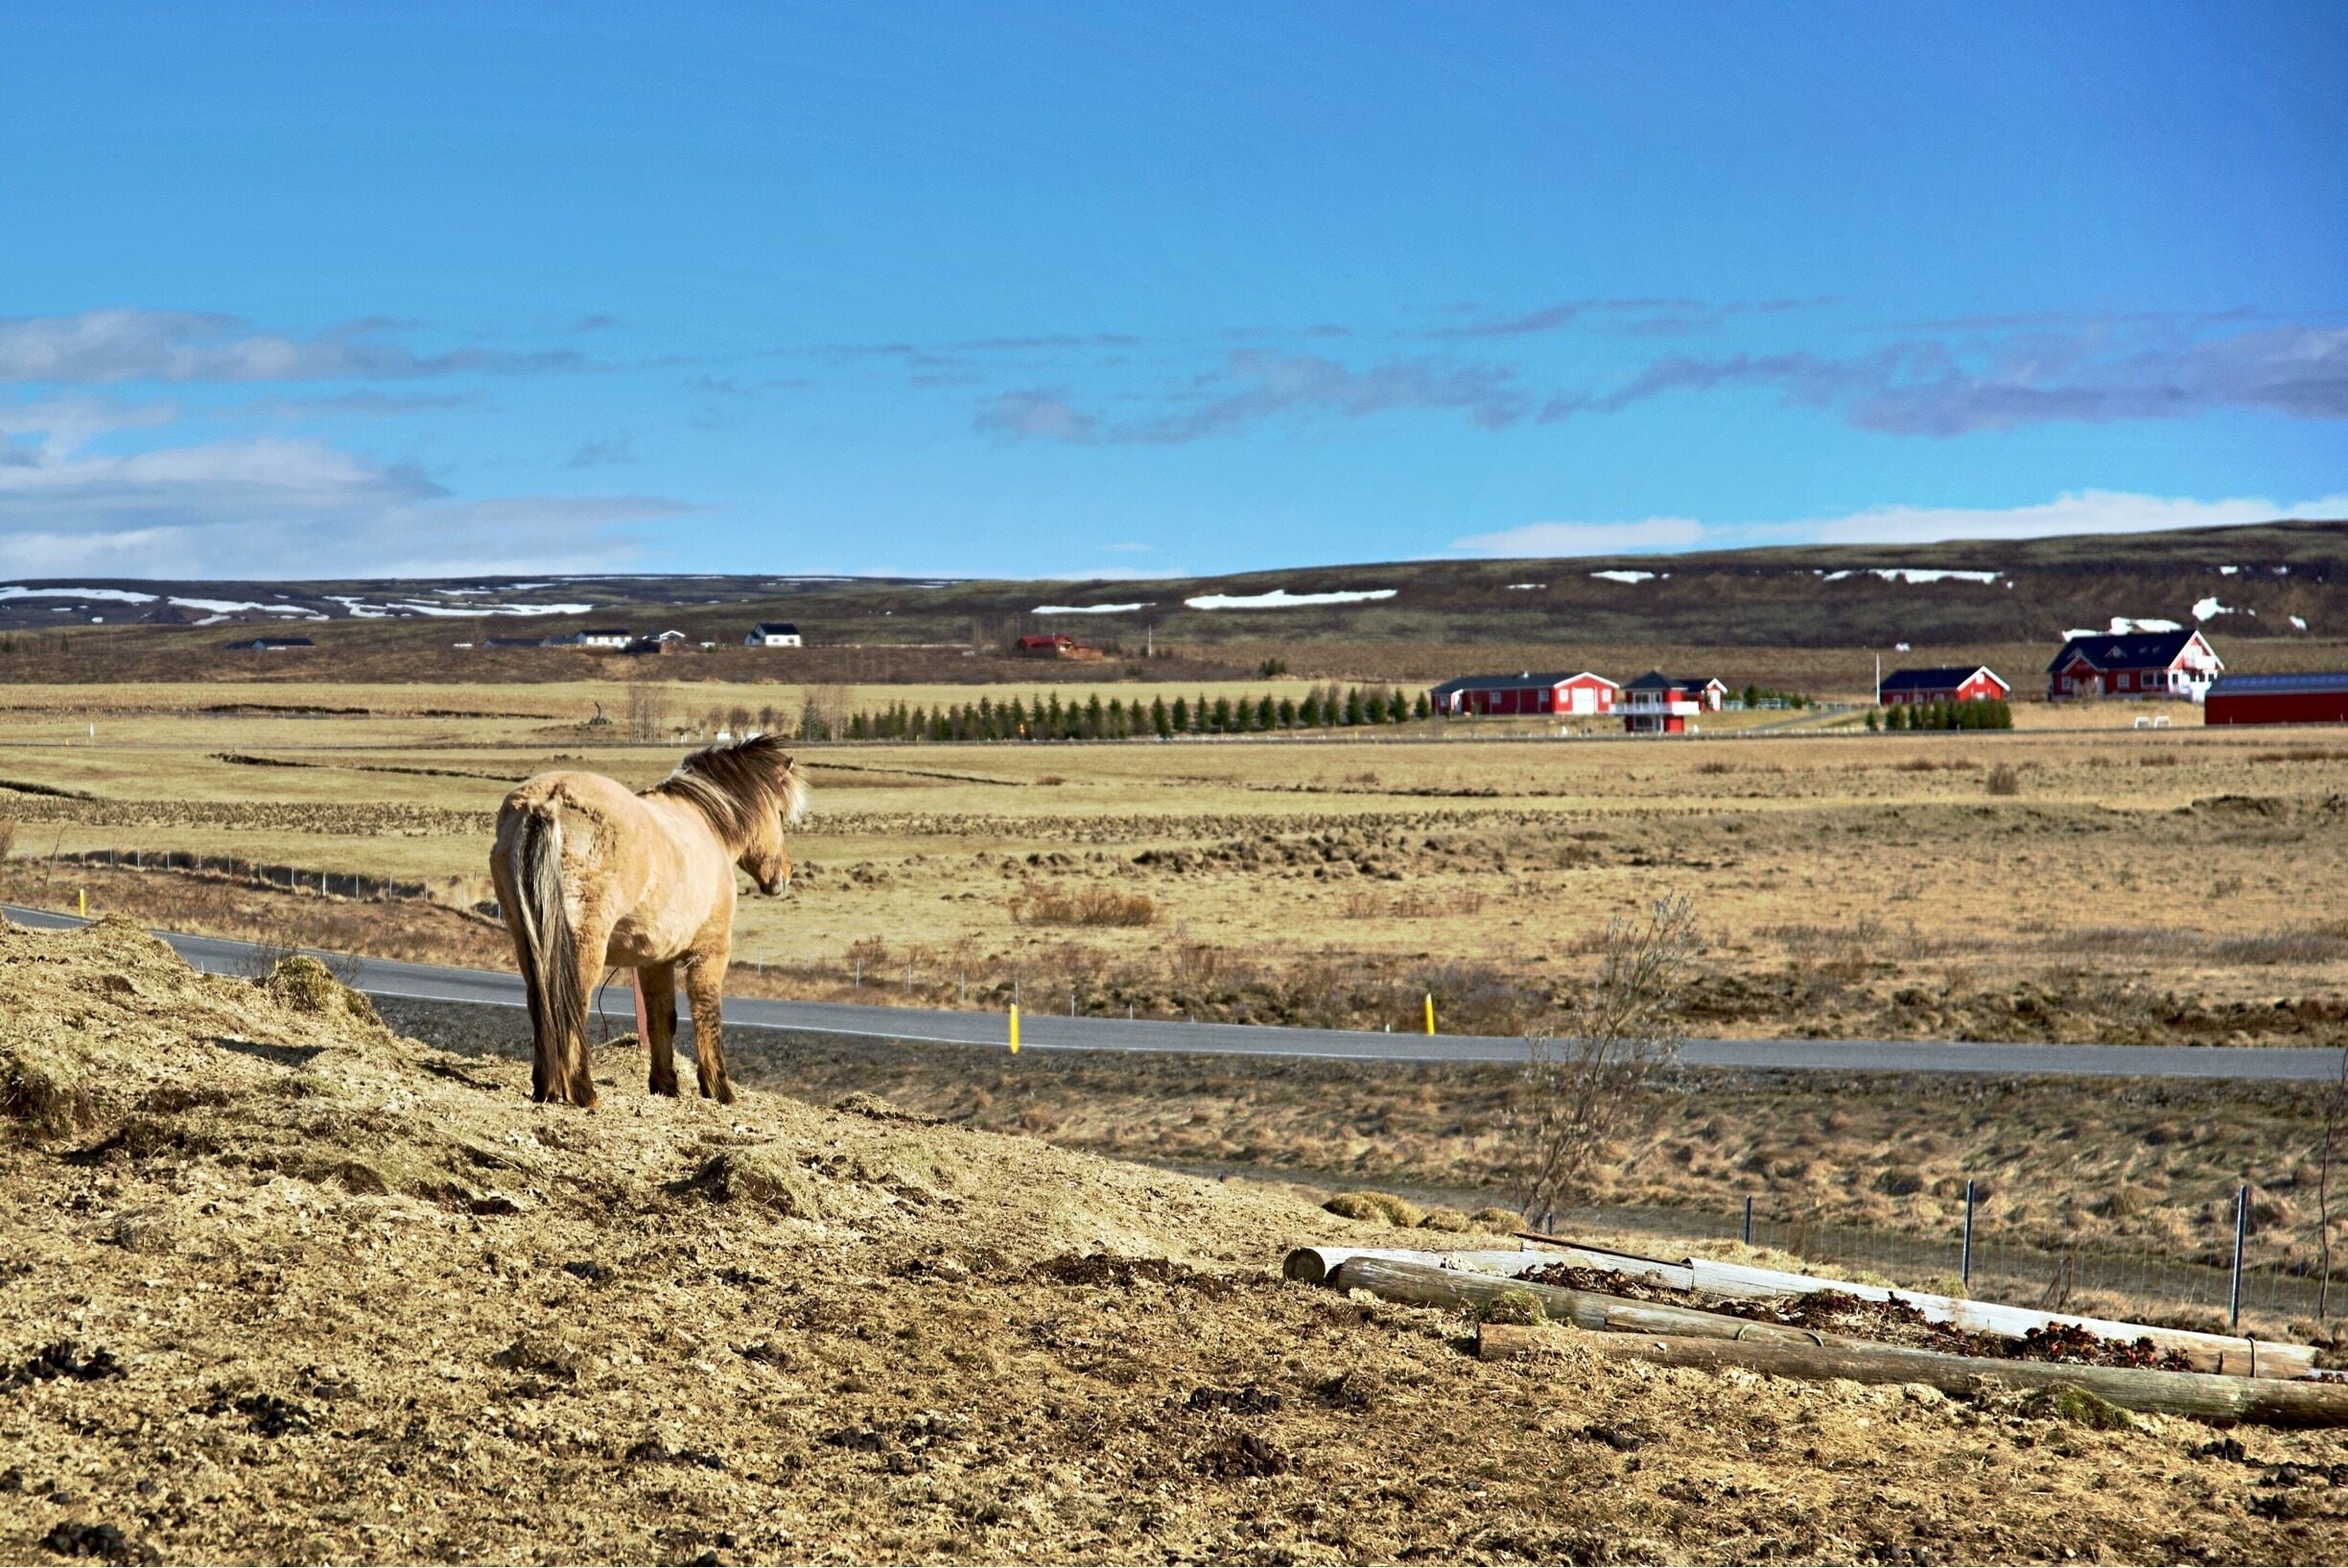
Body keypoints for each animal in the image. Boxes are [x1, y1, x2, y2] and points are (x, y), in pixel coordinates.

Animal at [490, 734, 809, 1108]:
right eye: (779, 813)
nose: (784, 874)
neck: (707, 826)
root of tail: (549, 801)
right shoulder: (710, 953)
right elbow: (707, 1013)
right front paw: (719, 1089)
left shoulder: (654, 960)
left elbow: (661, 1017)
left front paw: (665, 1085)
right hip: (582, 944)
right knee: (573, 1003)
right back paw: (582, 1091)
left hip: (528, 941)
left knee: (540, 1002)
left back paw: (547, 1087)